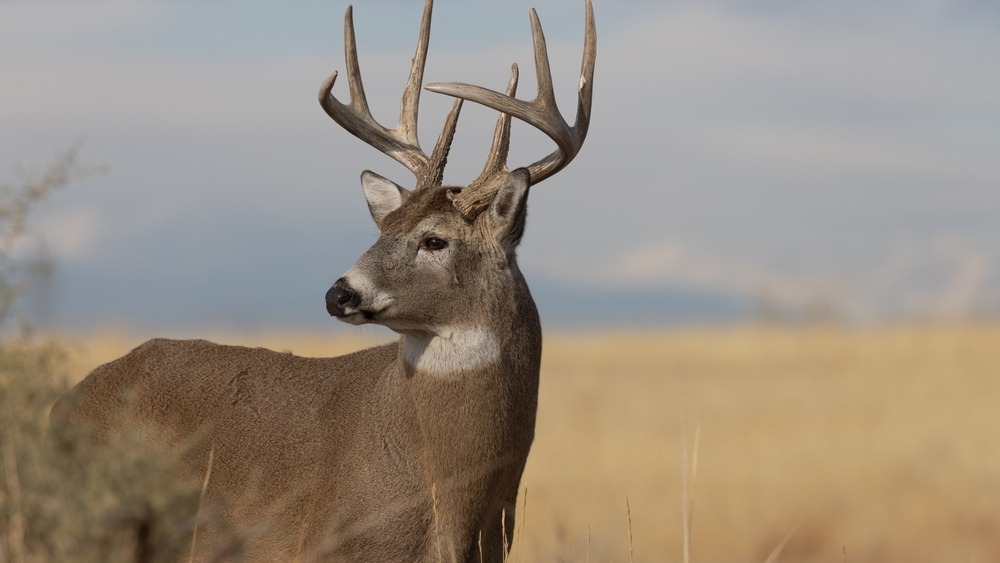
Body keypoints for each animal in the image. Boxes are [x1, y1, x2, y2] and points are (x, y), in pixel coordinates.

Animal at [51, 0, 595, 561]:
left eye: (434, 240)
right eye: (383, 228)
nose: (339, 293)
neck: (453, 509)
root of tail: (63, 406)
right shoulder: (324, 543)